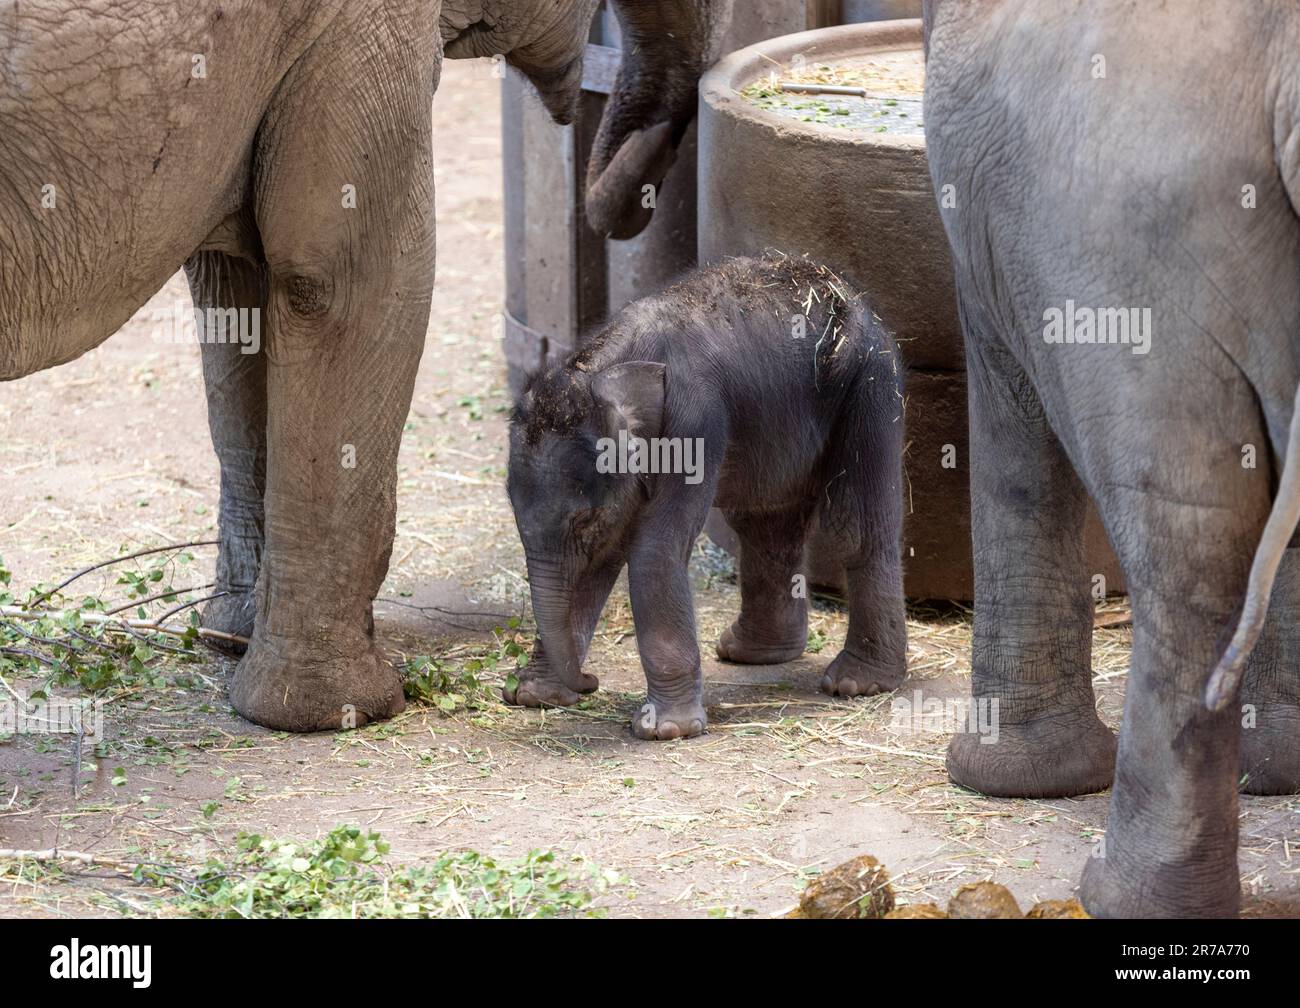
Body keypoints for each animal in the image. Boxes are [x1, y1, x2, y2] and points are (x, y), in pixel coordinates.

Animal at [504, 254, 907, 739]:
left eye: (584, 519)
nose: (590, 681)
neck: (600, 370)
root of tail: (843, 286)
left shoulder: (694, 420)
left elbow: (653, 549)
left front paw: (664, 730)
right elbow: (600, 558)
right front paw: (534, 697)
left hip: (870, 382)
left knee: (855, 524)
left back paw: (857, 683)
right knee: (765, 519)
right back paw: (753, 653)